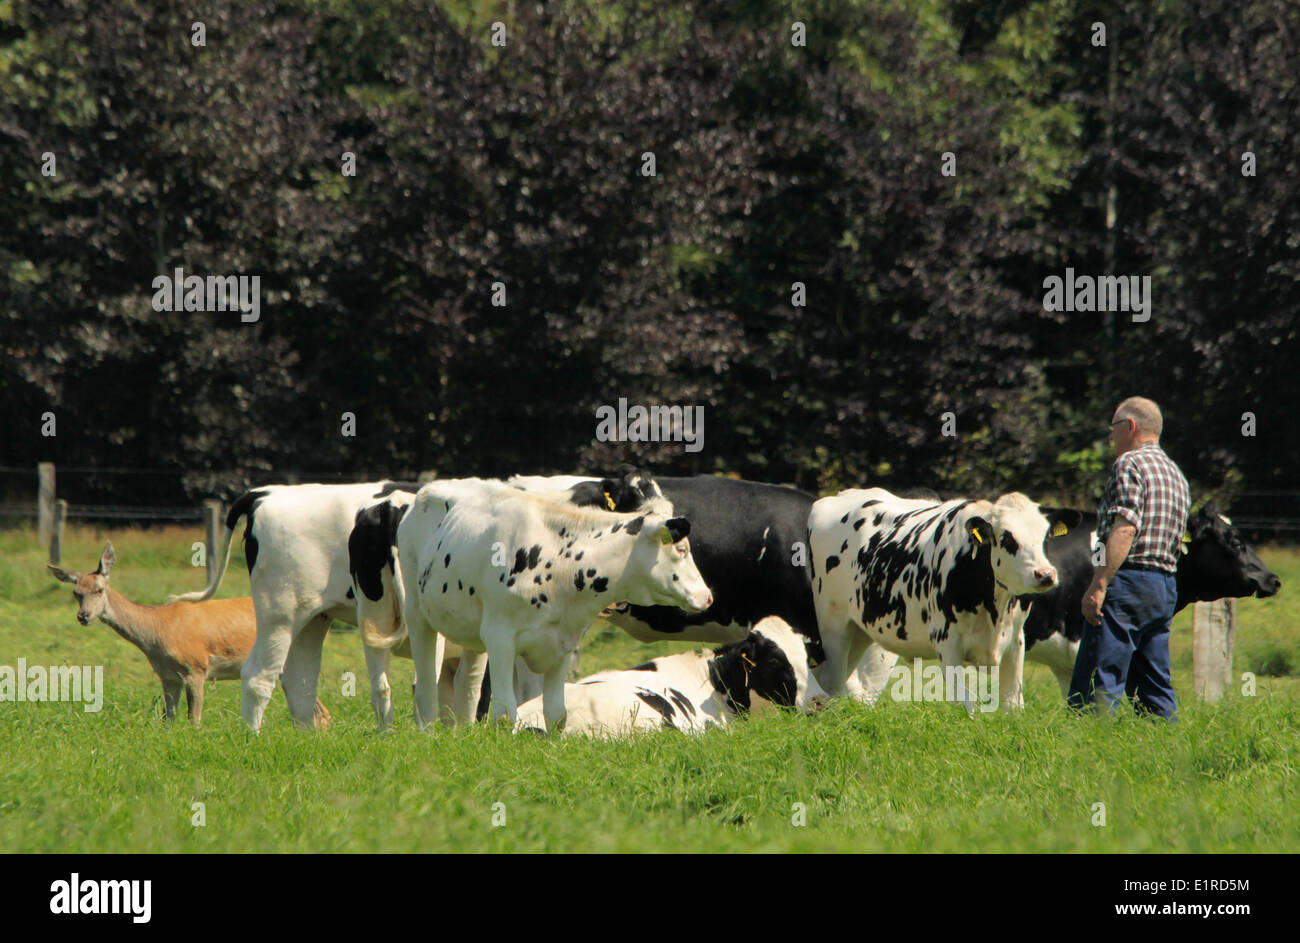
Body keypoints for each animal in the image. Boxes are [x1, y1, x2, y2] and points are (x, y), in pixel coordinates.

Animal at [48, 541, 330, 728]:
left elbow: (194, 719)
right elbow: (168, 718)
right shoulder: (167, 676)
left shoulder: (196, 666)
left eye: (99, 589)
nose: (83, 616)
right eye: (76, 592)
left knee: (319, 711)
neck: (157, 632)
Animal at [386, 478, 713, 732]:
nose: (708, 596)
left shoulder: (564, 641)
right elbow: (504, 715)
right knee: (425, 688)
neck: (559, 563)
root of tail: (426, 490)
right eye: (681, 549)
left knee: (467, 686)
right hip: (418, 615)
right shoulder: (500, 637)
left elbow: (557, 714)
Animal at [808, 488, 1082, 713]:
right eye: (1007, 538)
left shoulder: (1016, 639)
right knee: (831, 683)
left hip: (859, 630)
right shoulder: (947, 641)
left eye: (1046, 537)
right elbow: (964, 703)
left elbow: (1013, 704)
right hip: (833, 627)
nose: (1045, 574)